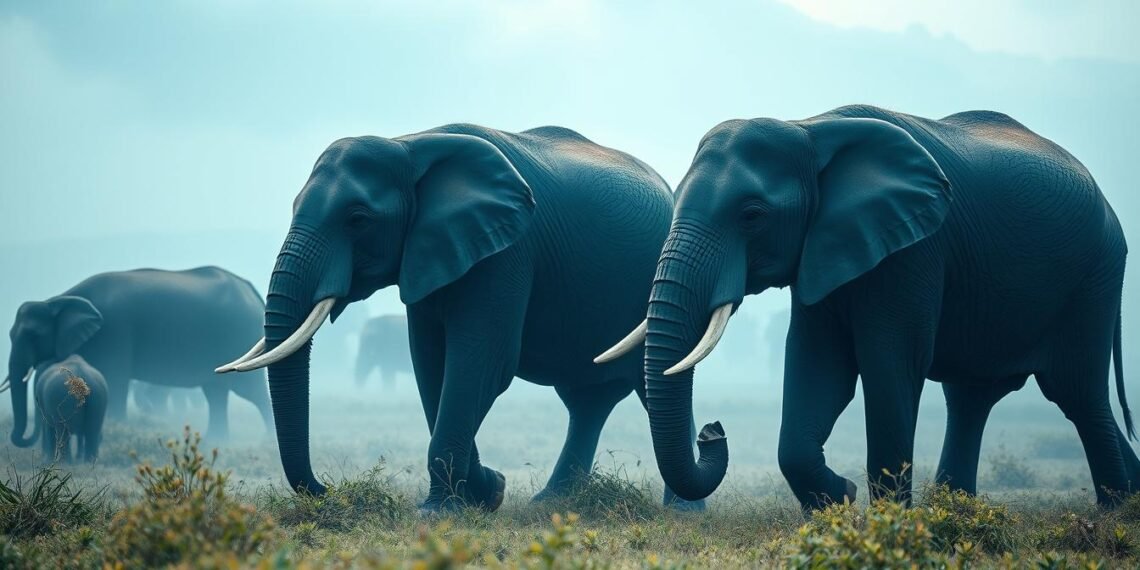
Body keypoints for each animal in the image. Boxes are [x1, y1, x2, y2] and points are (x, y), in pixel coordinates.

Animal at [4, 266, 274, 443]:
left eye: (33, 336)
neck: (59, 299)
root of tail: (253, 291)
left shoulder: (116, 331)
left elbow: (116, 381)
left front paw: (117, 428)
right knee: (216, 394)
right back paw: (215, 441)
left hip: (238, 335)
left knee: (253, 392)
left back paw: (265, 441)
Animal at [215, 124, 702, 513]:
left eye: (357, 219)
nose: (327, 488)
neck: (409, 144)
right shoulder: (431, 255)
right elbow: (431, 364)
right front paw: (486, 493)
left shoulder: (507, 252)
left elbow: (481, 363)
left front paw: (442, 510)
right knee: (587, 401)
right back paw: (551, 502)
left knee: (644, 381)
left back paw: (681, 510)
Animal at [597, 104, 1137, 509]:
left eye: (751, 215)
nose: (712, 430)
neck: (809, 128)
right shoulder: (825, 252)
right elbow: (818, 367)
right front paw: (840, 498)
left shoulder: (915, 251)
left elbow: (890, 368)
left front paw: (886, 521)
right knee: (973, 398)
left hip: (1095, 278)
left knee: (1078, 393)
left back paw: (1114, 511)